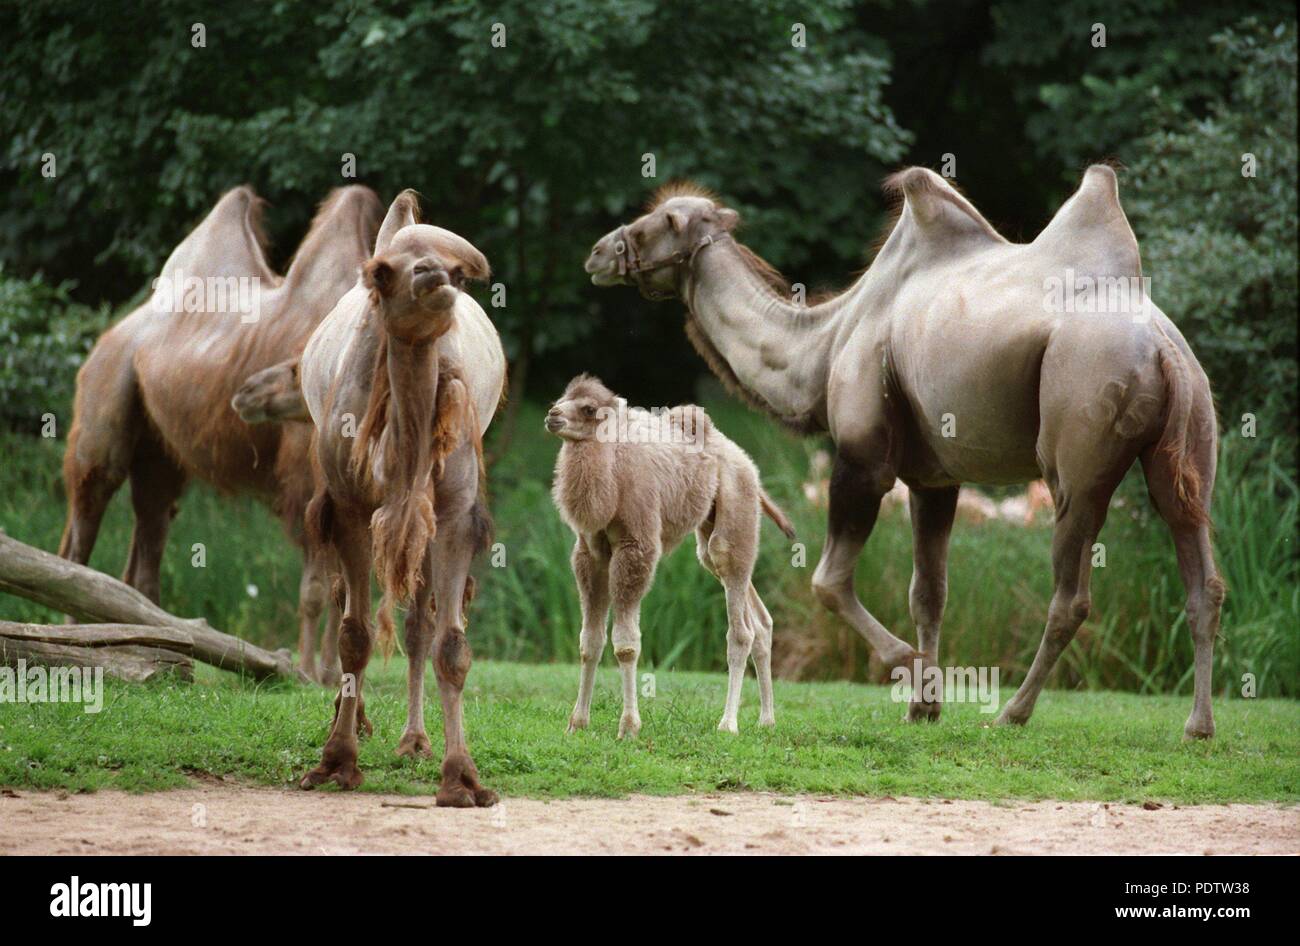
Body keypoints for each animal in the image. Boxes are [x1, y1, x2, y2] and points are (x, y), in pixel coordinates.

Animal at [60, 185, 382, 686]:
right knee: (86, 513)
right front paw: (310, 672)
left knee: (150, 523)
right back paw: (79, 634)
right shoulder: (305, 483)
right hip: (106, 392)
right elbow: (316, 585)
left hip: (158, 449)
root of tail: (111, 335)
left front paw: (333, 673)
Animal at [298, 190, 506, 805]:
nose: (435, 277)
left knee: (419, 623)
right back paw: (353, 719)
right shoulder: (349, 509)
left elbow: (452, 645)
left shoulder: (453, 515)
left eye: (459, 272)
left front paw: (462, 778)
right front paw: (336, 762)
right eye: (383, 273)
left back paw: (415, 740)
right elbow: (354, 635)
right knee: (348, 604)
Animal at [546, 374, 795, 737]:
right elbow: (589, 642)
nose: (552, 415)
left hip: (736, 512)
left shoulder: (637, 547)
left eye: (589, 408)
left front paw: (629, 726)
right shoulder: (589, 553)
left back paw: (728, 723)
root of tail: (746, 464)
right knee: (759, 620)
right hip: (710, 537)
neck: (613, 471)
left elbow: (626, 644)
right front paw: (577, 723)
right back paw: (767, 719)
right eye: (561, 399)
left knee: (740, 628)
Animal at [584, 166, 1224, 739]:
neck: (823, 346)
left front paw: (914, 672)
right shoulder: (933, 479)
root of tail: (1163, 348)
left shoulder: (863, 460)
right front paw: (925, 705)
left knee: (1071, 594)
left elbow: (828, 582)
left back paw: (1012, 713)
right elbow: (929, 593)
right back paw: (1198, 726)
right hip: (1189, 445)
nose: (597, 253)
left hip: (1079, 446)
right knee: (1202, 574)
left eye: (656, 224)